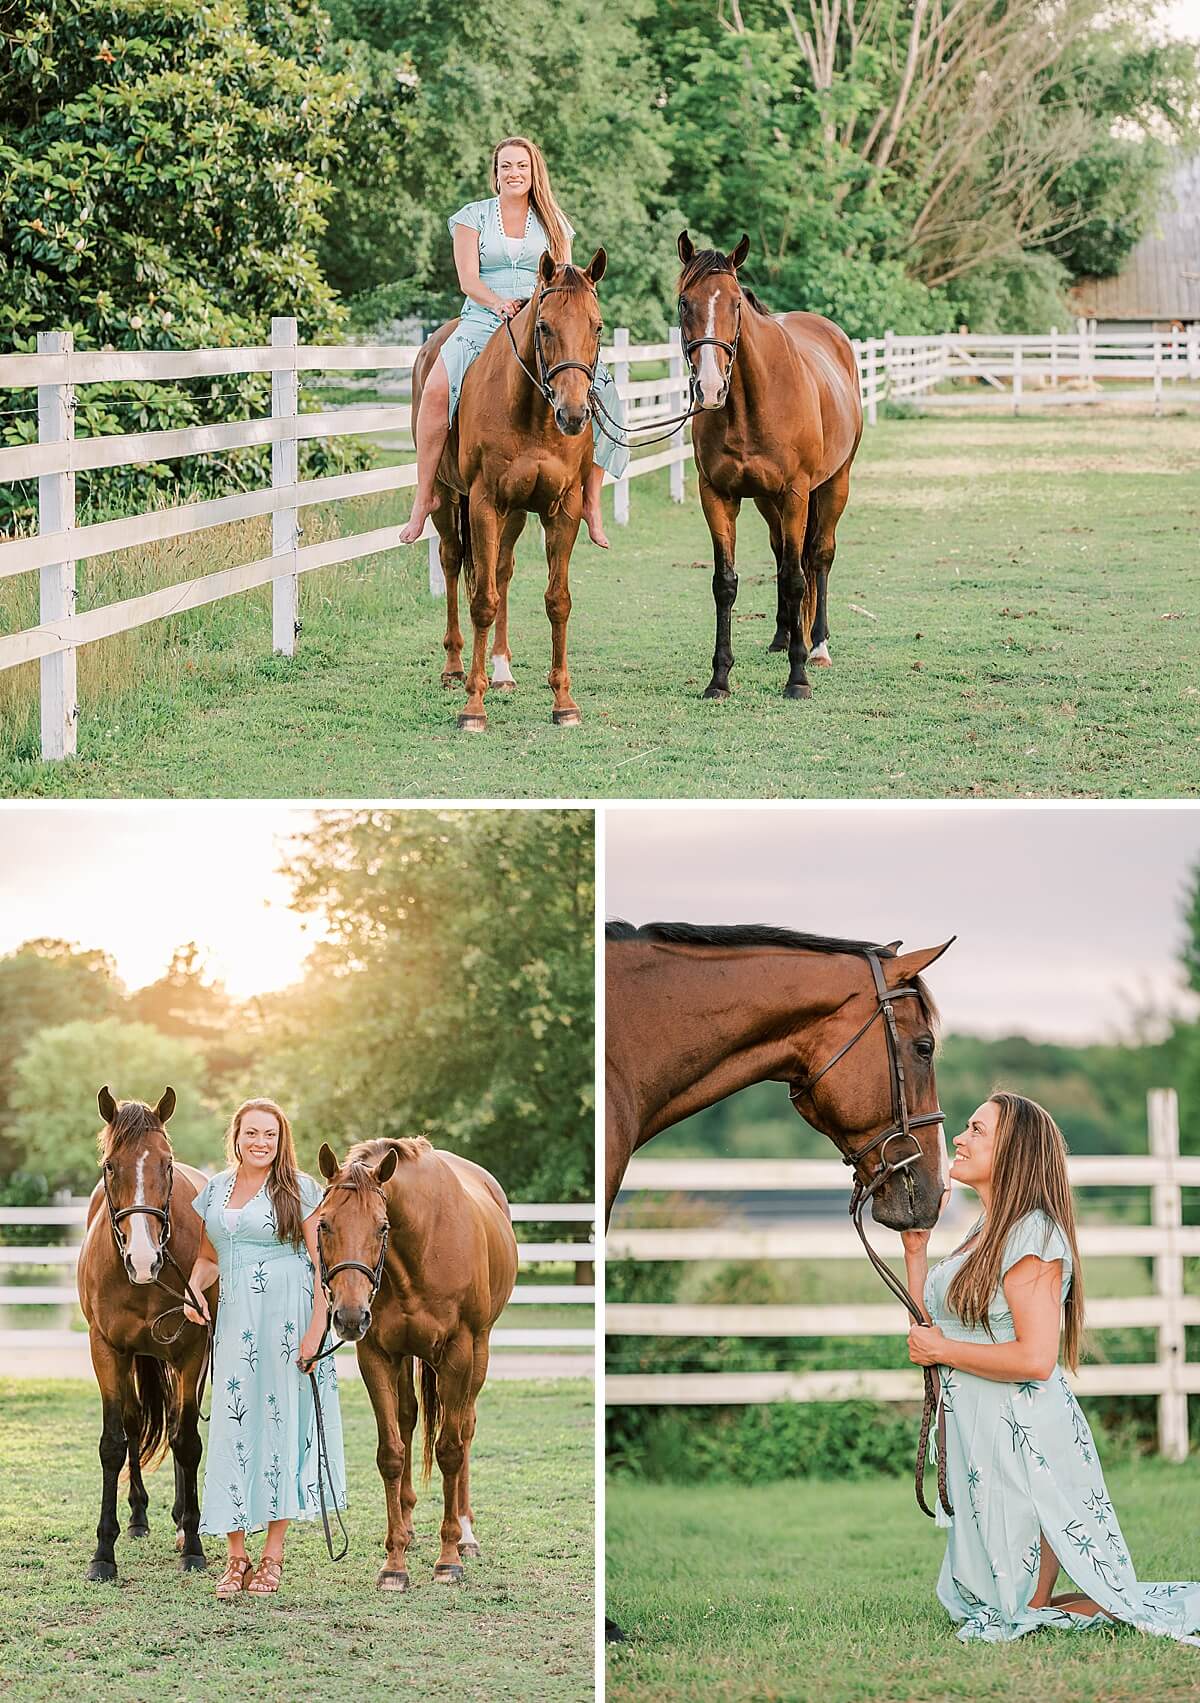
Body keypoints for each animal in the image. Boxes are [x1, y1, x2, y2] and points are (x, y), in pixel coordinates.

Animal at [76, 1086, 215, 1581]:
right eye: (110, 1165)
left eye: (166, 1165)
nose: (142, 1259)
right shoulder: (106, 1350)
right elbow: (113, 1443)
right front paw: (103, 1552)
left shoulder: (193, 1349)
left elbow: (187, 1441)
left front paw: (192, 1543)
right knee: (137, 1423)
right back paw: (137, 1516)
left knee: (175, 1424)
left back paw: (179, 1517)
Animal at [314, 1137, 519, 1591]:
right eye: (323, 1224)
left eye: (382, 1227)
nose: (349, 1316)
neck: (420, 1246)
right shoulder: (375, 1355)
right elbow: (391, 1452)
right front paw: (395, 1562)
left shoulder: (459, 1352)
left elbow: (449, 1451)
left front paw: (448, 1558)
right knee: (407, 1419)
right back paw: (406, 1526)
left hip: (479, 1352)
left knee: (465, 1428)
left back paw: (466, 1534)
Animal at [410, 249, 607, 732]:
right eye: (544, 327)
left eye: (596, 326)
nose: (573, 413)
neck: (534, 416)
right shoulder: (484, 504)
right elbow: (482, 600)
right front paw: (472, 707)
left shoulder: (562, 509)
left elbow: (557, 601)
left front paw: (563, 701)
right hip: (448, 499)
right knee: (452, 562)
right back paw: (454, 667)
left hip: (514, 514)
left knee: (500, 570)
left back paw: (501, 670)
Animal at [676, 230, 863, 702]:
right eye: (685, 302)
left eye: (735, 304)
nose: (709, 387)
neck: (752, 402)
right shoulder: (717, 496)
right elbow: (725, 583)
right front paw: (719, 679)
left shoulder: (796, 493)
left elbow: (798, 578)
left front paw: (798, 678)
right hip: (767, 502)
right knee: (782, 554)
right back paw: (783, 636)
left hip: (834, 485)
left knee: (818, 557)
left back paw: (817, 645)